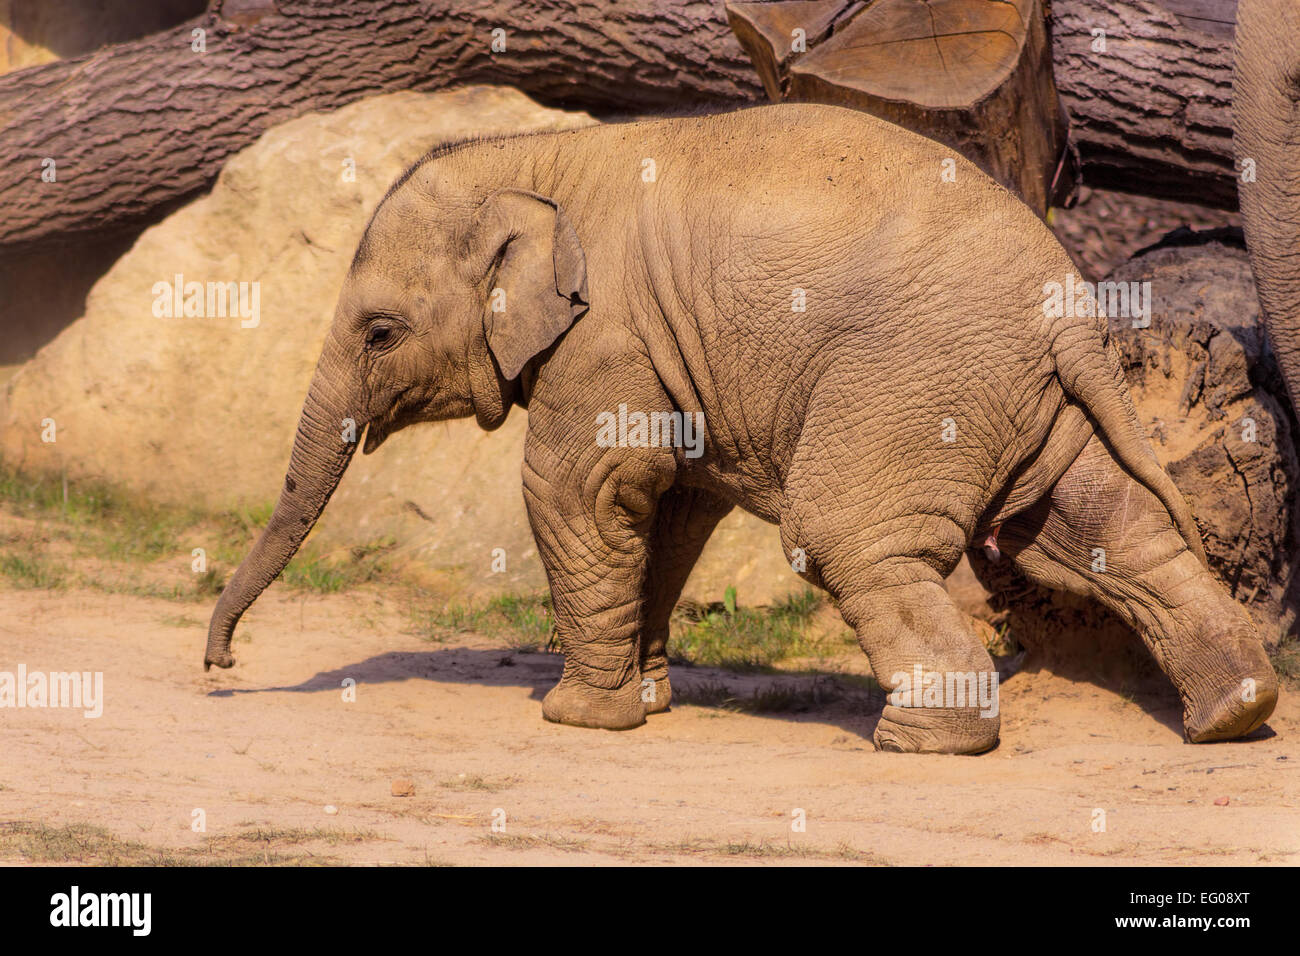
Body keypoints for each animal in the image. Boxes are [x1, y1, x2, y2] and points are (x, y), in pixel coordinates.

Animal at [205, 102, 1277, 754]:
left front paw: (575, 718)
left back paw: (917, 741)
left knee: (846, 535)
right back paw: (1236, 714)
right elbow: (672, 508)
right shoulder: (670, 361)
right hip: (1028, 399)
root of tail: (1070, 306)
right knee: (1104, 531)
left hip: (915, 382)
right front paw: (643, 701)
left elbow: (579, 489)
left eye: (380, 332)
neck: (532, 154)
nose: (219, 669)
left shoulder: (610, 335)